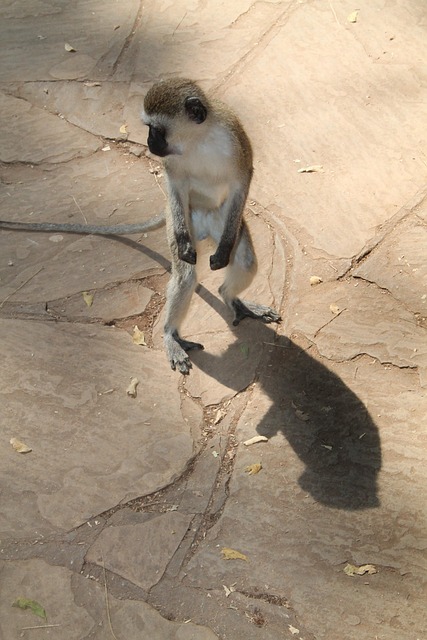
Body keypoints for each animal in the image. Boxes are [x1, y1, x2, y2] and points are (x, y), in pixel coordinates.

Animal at [0, 78, 281, 374]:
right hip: (183, 218)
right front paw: (184, 245)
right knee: (185, 275)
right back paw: (171, 334)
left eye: (156, 129)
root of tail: (203, 225)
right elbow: (175, 185)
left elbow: (241, 182)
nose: (149, 142)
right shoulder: (175, 170)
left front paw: (225, 249)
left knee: (246, 261)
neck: (198, 139)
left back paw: (231, 297)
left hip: (221, 219)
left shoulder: (234, 138)